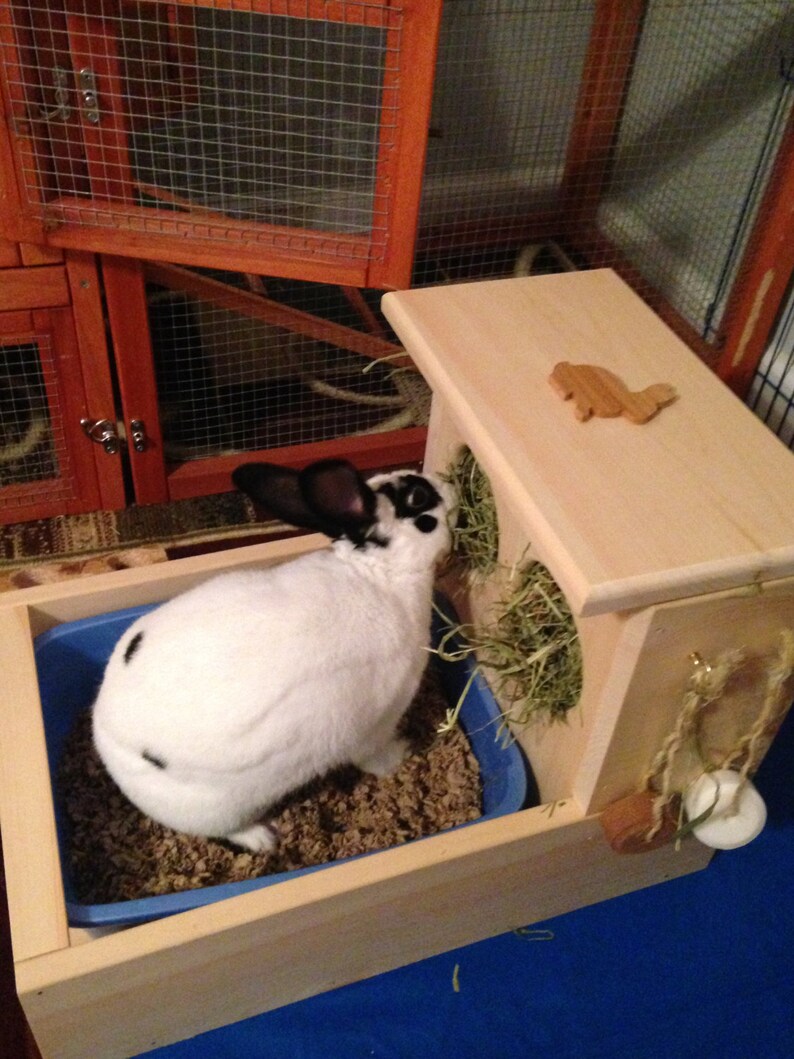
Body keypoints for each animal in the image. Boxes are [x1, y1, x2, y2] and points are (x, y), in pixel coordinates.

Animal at [91, 457, 453, 851]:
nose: (448, 483)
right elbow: (375, 758)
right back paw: (263, 838)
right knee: (225, 829)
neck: (380, 576)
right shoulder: (375, 727)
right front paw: (404, 752)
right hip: (215, 809)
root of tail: (103, 733)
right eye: (418, 497)